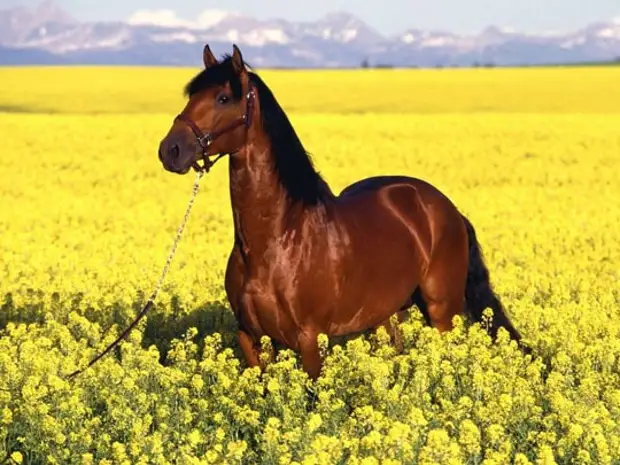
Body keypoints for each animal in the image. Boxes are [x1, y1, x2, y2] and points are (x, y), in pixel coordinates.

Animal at [156, 42, 528, 376]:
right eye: (191, 96)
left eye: (223, 98)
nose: (170, 150)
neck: (275, 240)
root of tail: (446, 208)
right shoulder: (251, 338)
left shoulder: (309, 339)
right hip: (387, 314)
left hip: (441, 312)